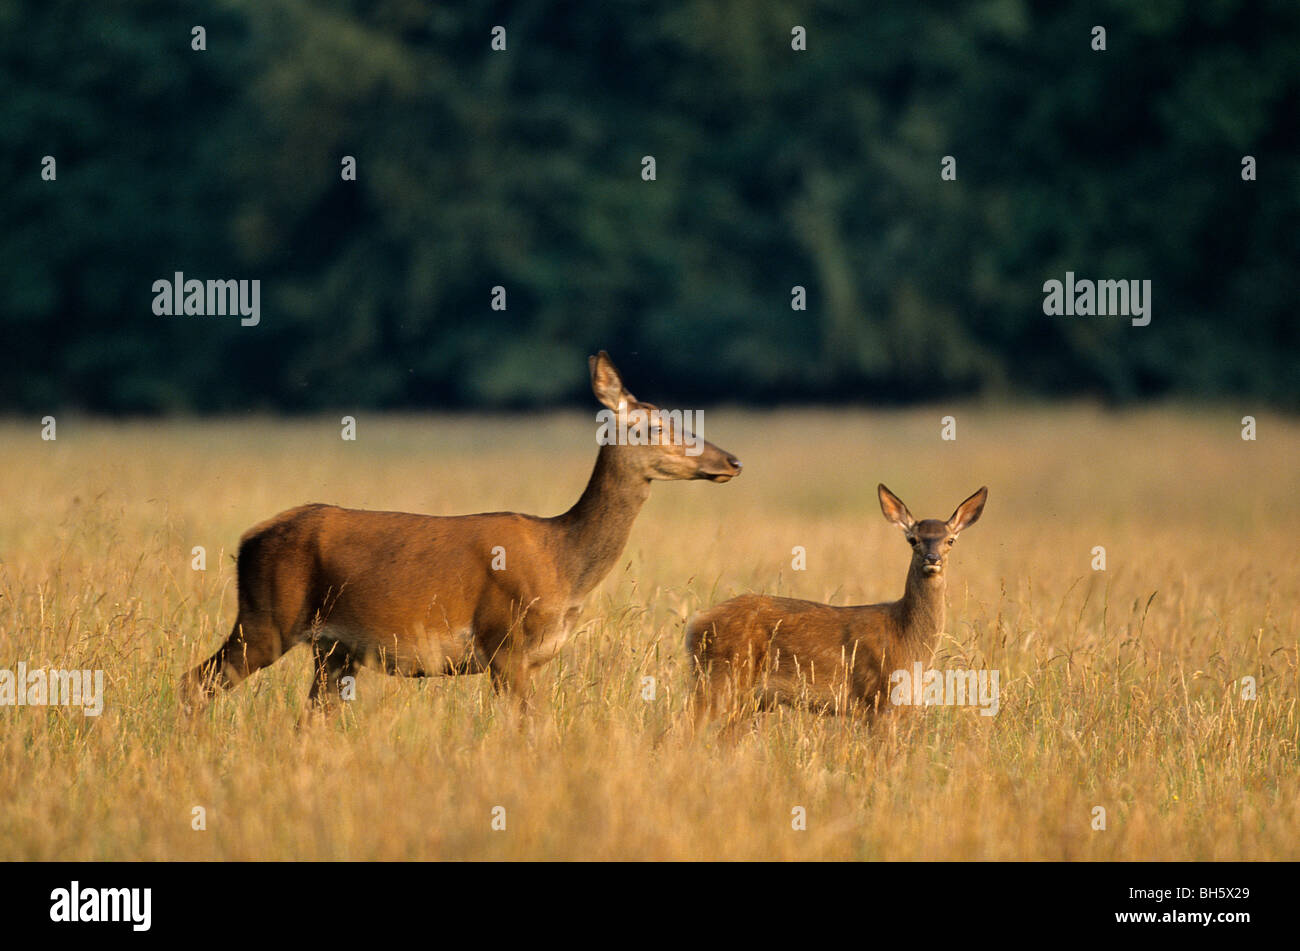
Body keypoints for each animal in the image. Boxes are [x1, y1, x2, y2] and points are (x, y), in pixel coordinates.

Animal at [181, 352, 742, 715]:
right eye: (657, 426)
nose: (732, 461)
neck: (563, 562)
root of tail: (246, 541)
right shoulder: (503, 642)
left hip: (332, 650)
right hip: (266, 621)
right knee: (195, 682)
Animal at [684, 484, 987, 732]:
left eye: (950, 540)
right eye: (913, 539)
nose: (932, 558)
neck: (906, 638)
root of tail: (695, 625)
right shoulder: (878, 700)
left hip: (750, 698)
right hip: (721, 677)